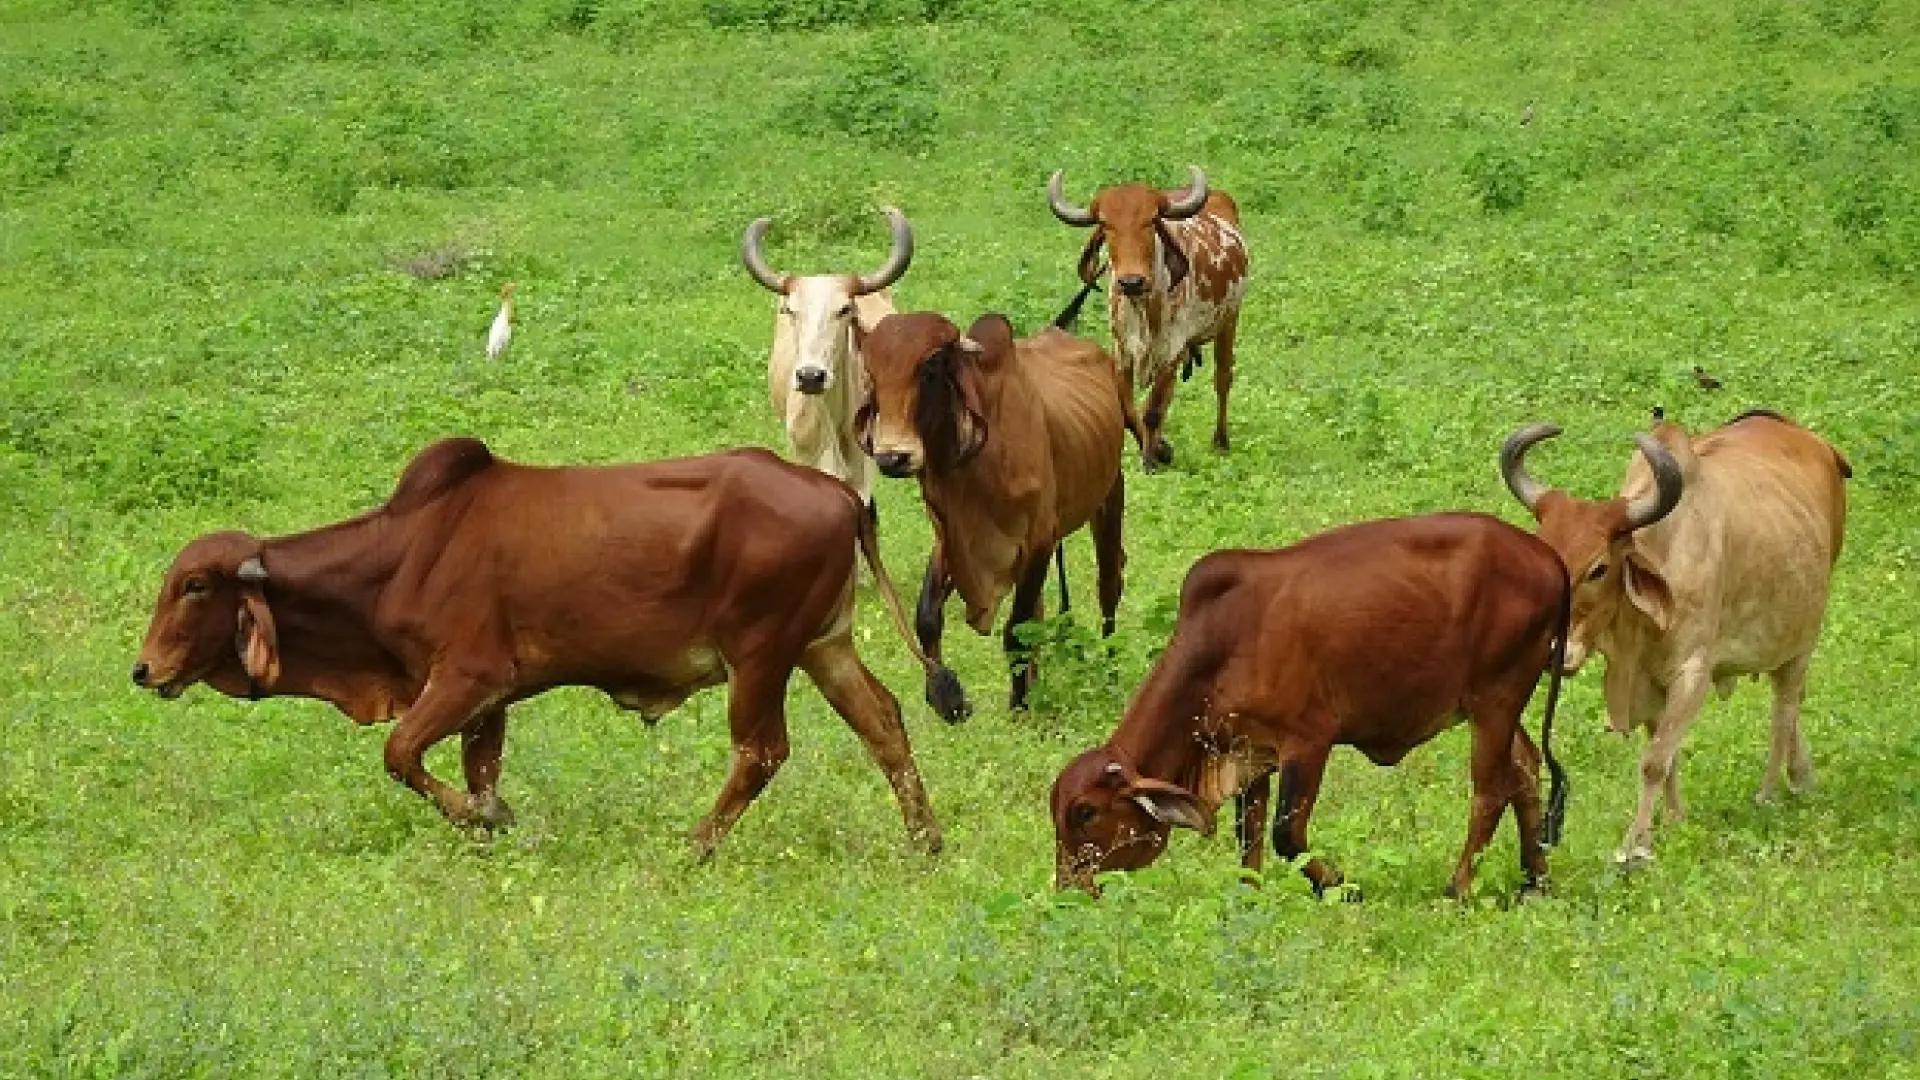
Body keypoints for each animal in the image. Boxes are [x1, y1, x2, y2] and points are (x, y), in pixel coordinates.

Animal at [130, 437, 962, 857]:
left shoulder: (464, 677)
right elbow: (476, 769)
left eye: (194, 587)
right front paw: (490, 825)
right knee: (884, 723)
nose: (144, 669)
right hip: (823, 646)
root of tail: (840, 495)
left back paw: (693, 845)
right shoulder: (488, 701)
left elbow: (399, 755)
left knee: (762, 752)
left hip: (759, 656)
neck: (402, 554)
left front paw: (488, 820)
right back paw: (925, 840)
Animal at [855, 311, 1127, 721]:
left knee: (1108, 587)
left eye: (931, 365)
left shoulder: (1039, 540)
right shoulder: (949, 538)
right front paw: (945, 695)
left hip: (1110, 496)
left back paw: (1109, 672)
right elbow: (927, 616)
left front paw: (1019, 708)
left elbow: (1016, 630)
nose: (892, 457)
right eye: (870, 371)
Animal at [1047, 165, 1248, 472]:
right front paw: (1158, 448)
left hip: (1229, 320)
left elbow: (1153, 410)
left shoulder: (1172, 352)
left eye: (1151, 221)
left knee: (1222, 378)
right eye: (1105, 224)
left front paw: (1151, 459)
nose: (1131, 281)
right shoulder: (1122, 353)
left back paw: (1221, 441)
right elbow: (1130, 410)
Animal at [1049, 513, 1572, 900]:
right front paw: (1249, 901)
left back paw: (1459, 889)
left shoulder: (1308, 741)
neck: (1221, 646)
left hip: (1496, 696)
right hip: (1496, 702)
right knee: (1525, 769)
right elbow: (1249, 838)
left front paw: (1344, 888)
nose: (1068, 890)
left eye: (1084, 813)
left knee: (1490, 789)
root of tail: (1549, 558)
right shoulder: (1249, 752)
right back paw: (1535, 882)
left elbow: (1287, 835)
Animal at [1499, 408, 1850, 868]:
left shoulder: (1691, 675)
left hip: (1802, 641)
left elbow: (1654, 761)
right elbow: (1667, 755)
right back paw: (1802, 779)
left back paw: (1768, 793)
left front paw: (1634, 846)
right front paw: (1671, 823)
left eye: (1597, 568)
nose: (1557, 652)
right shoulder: (1649, 686)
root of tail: (1814, 442)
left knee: (1783, 711)